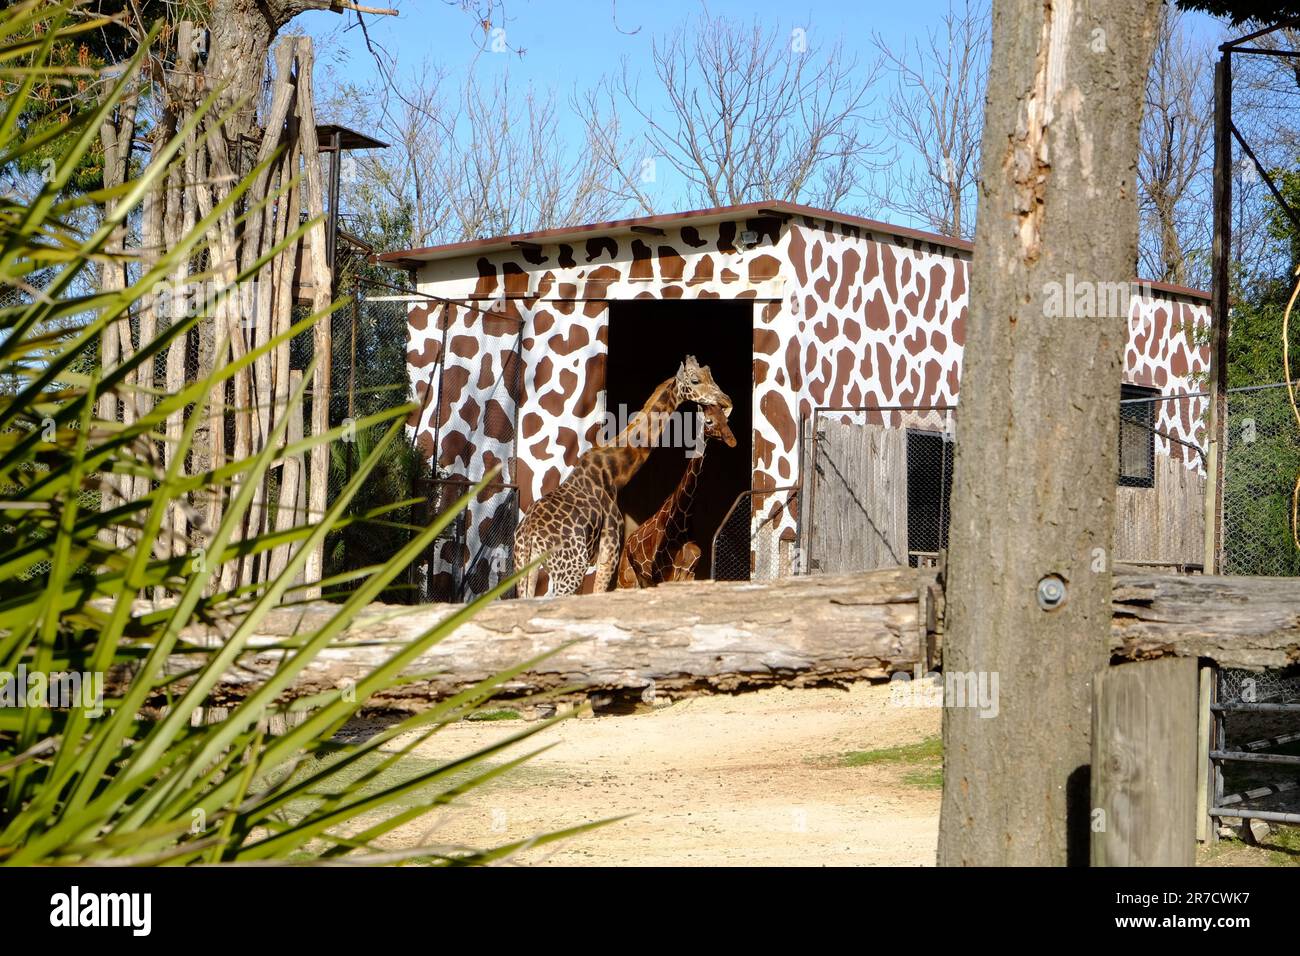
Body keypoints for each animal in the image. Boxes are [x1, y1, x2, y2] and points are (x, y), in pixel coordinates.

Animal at [616, 404, 736, 589]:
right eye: (709, 421)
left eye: (727, 420)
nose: (732, 441)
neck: (682, 520)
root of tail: (628, 543)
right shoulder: (664, 574)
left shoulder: (689, 572)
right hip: (627, 577)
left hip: (645, 580)